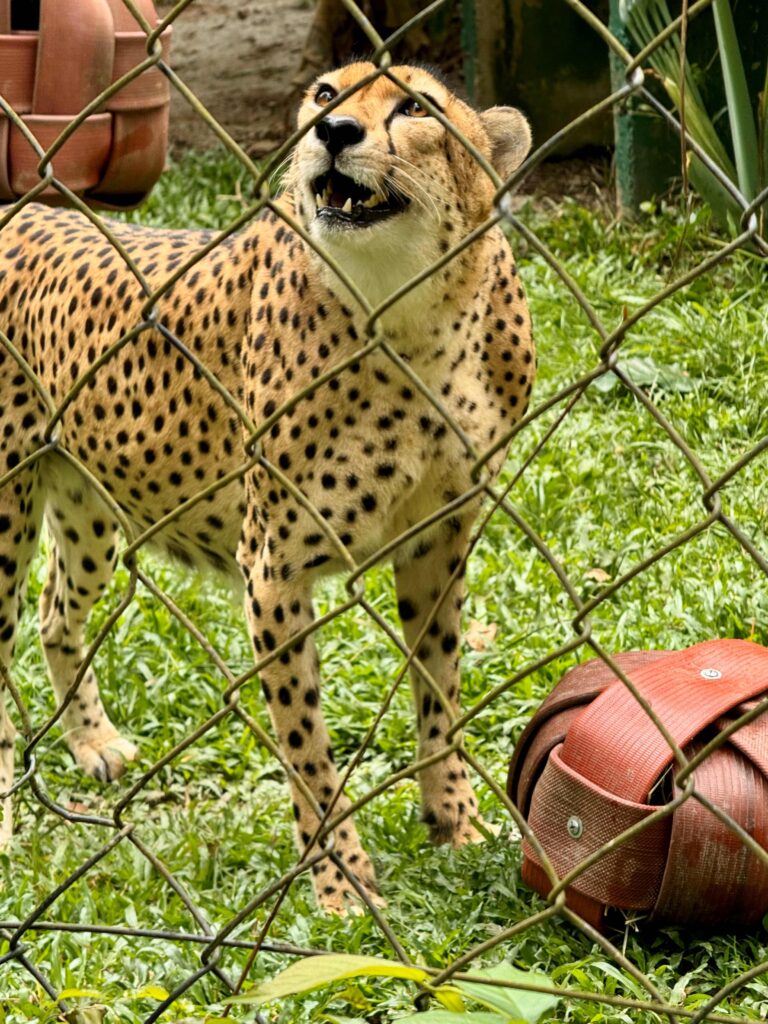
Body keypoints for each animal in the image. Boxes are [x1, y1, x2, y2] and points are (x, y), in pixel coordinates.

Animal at [0, 62, 535, 913]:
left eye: (415, 108)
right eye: (325, 94)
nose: (335, 133)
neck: (412, 319)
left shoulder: (438, 542)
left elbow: (440, 691)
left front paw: (454, 821)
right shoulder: (274, 569)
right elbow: (307, 745)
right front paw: (340, 881)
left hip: (88, 506)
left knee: (56, 610)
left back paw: (94, 742)